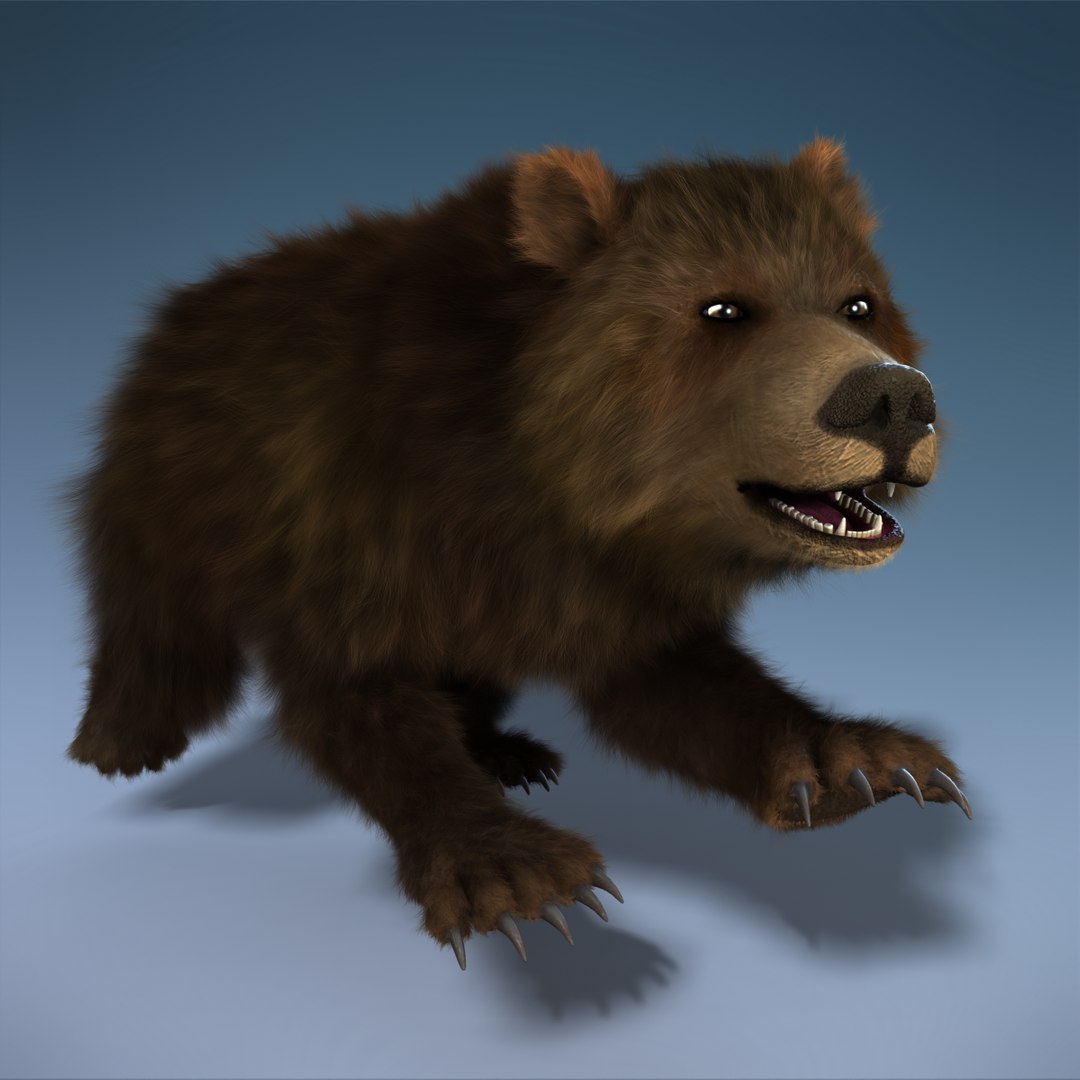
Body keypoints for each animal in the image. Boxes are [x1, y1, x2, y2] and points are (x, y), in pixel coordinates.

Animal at [60, 138, 971, 971]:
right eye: (723, 310)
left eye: (859, 303)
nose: (894, 397)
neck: (546, 491)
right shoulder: (357, 532)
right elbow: (363, 701)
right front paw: (514, 872)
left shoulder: (612, 596)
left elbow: (680, 686)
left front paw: (852, 760)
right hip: (170, 491)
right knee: (152, 618)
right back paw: (120, 739)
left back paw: (506, 749)